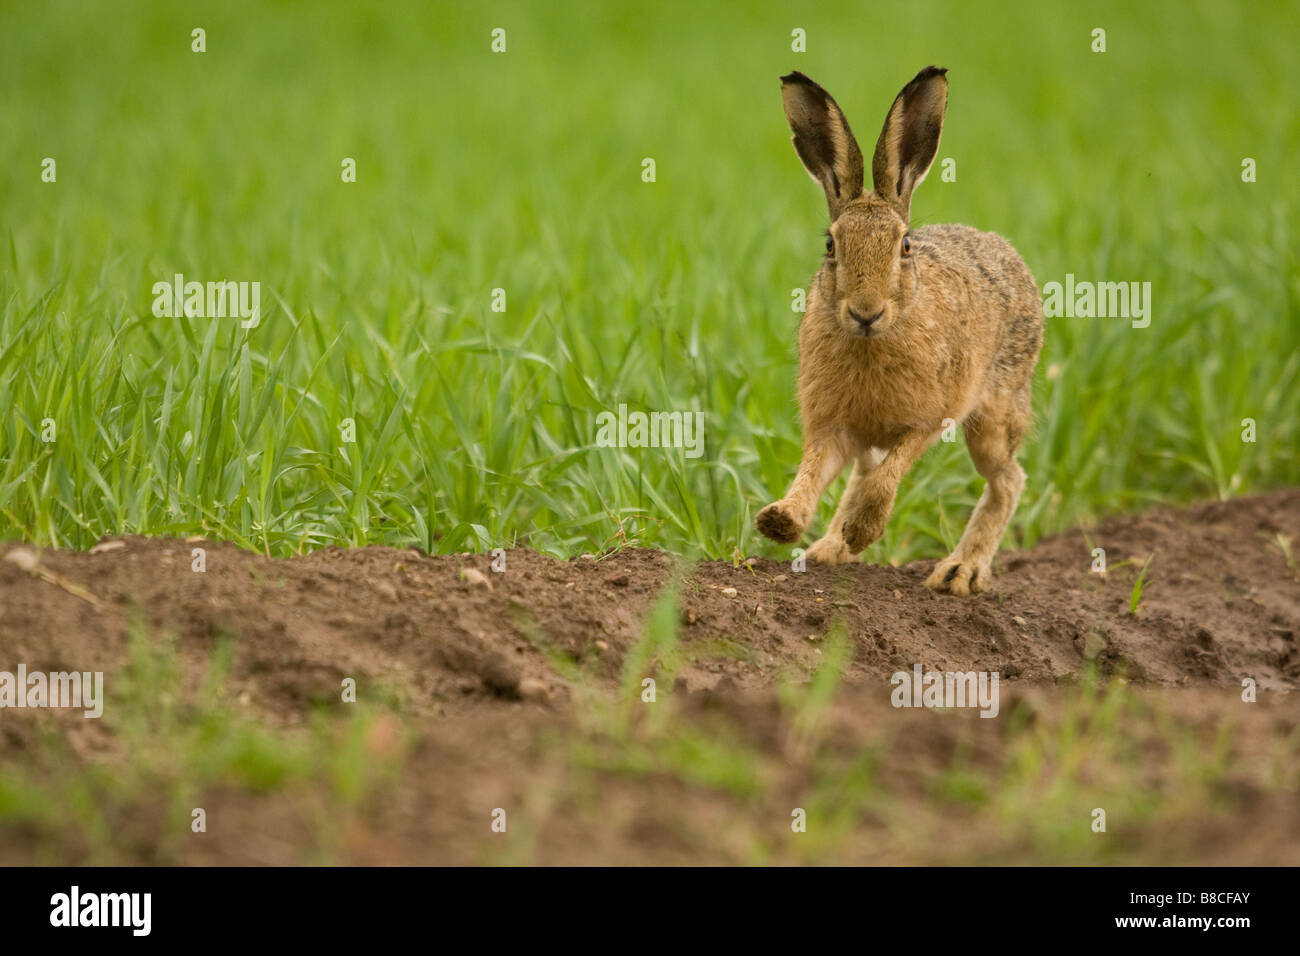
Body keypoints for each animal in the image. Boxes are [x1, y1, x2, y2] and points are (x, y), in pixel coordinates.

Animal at [756, 67, 1043, 596]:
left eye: (905, 245)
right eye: (831, 245)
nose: (866, 313)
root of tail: (1009, 254)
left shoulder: (928, 420)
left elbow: (888, 479)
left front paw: (863, 530)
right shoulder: (831, 427)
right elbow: (814, 471)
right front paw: (781, 520)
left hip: (994, 416)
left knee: (1008, 479)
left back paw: (960, 571)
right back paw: (827, 549)